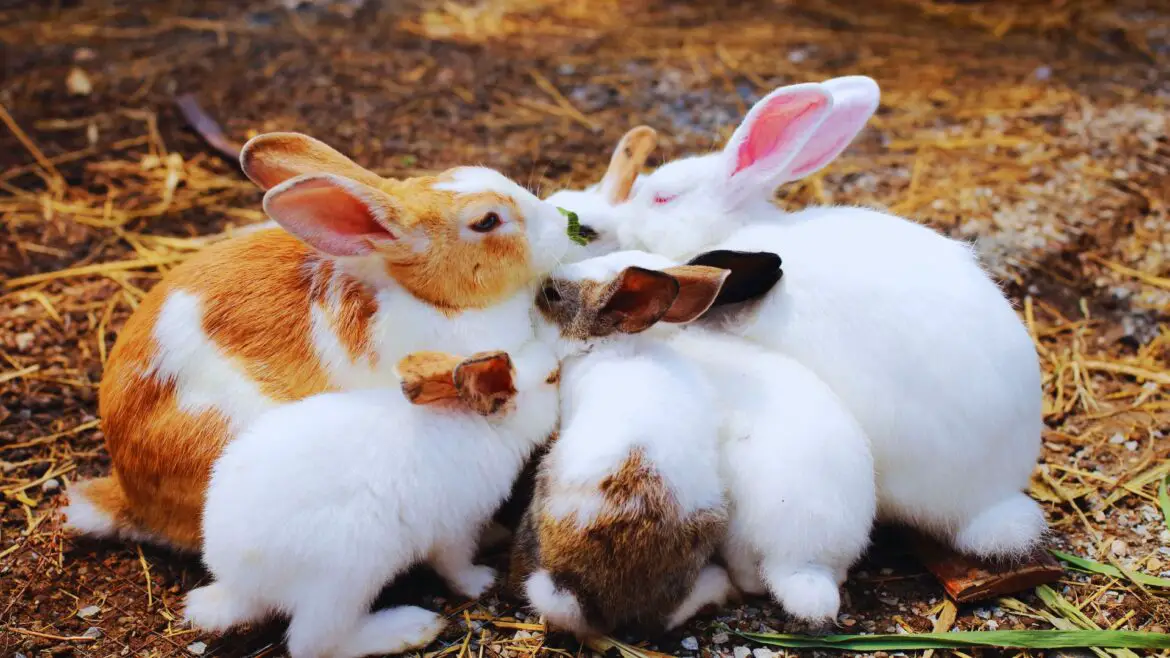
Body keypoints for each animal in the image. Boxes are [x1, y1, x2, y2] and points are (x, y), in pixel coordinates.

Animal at [183, 342, 561, 658]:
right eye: (551, 379)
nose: (558, 363)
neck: (485, 428)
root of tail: (240, 585)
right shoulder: (454, 529)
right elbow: (455, 566)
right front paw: (482, 581)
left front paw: (496, 534)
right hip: (346, 576)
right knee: (312, 644)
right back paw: (412, 628)